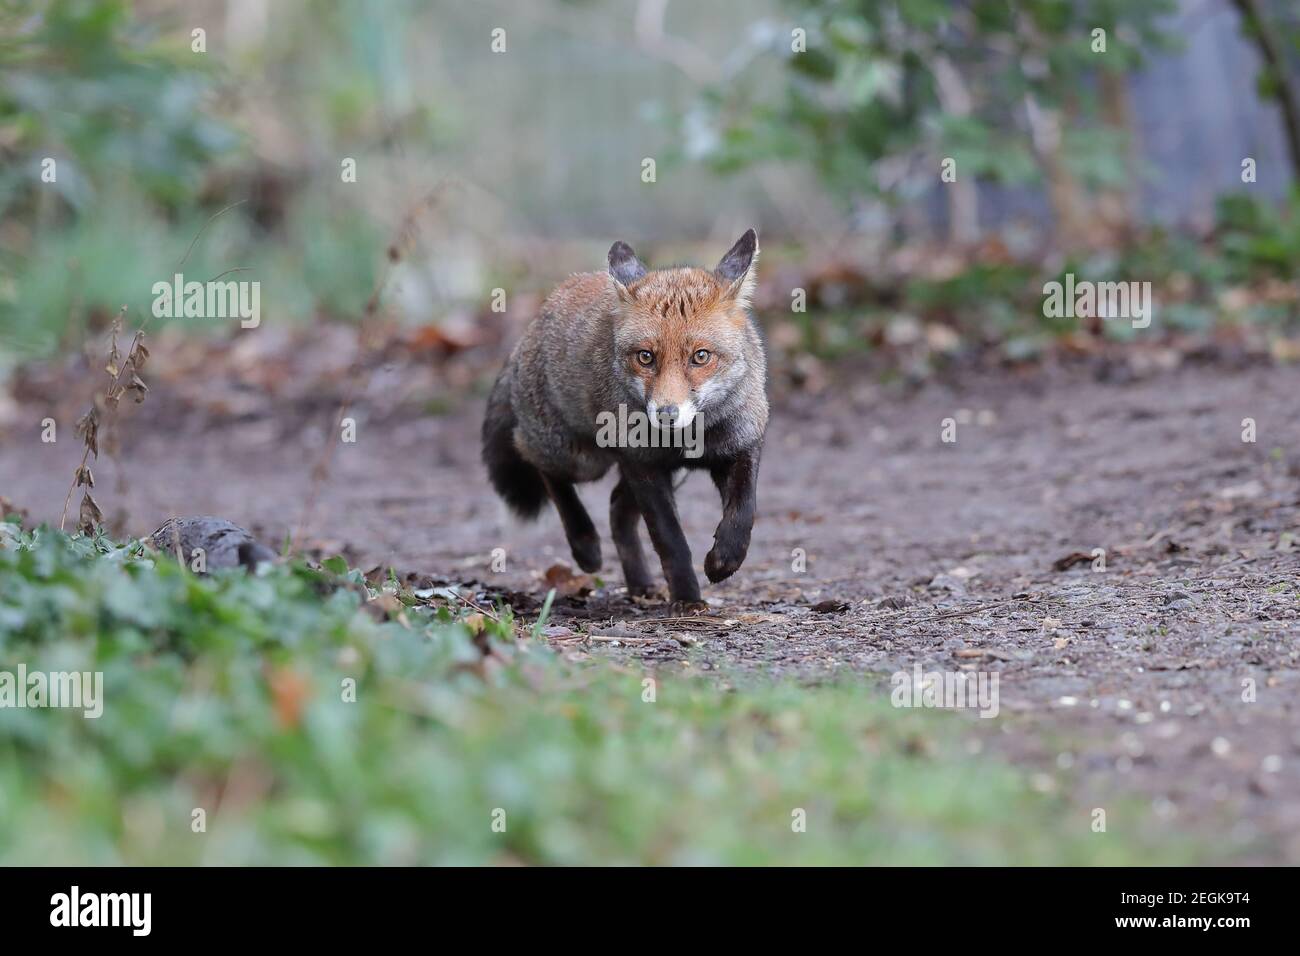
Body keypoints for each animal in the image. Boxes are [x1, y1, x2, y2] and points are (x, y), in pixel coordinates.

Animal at [482, 229, 768, 608]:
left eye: (701, 356)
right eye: (646, 357)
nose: (666, 414)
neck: (695, 436)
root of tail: (534, 323)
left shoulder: (741, 446)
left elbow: (744, 512)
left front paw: (724, 560)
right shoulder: (643, 465)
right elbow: (671, 542)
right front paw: (687, 600)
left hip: (665, 473)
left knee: (617, 509)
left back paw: (640, 584)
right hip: (581, 460)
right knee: (534, 459)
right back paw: (585, 543)